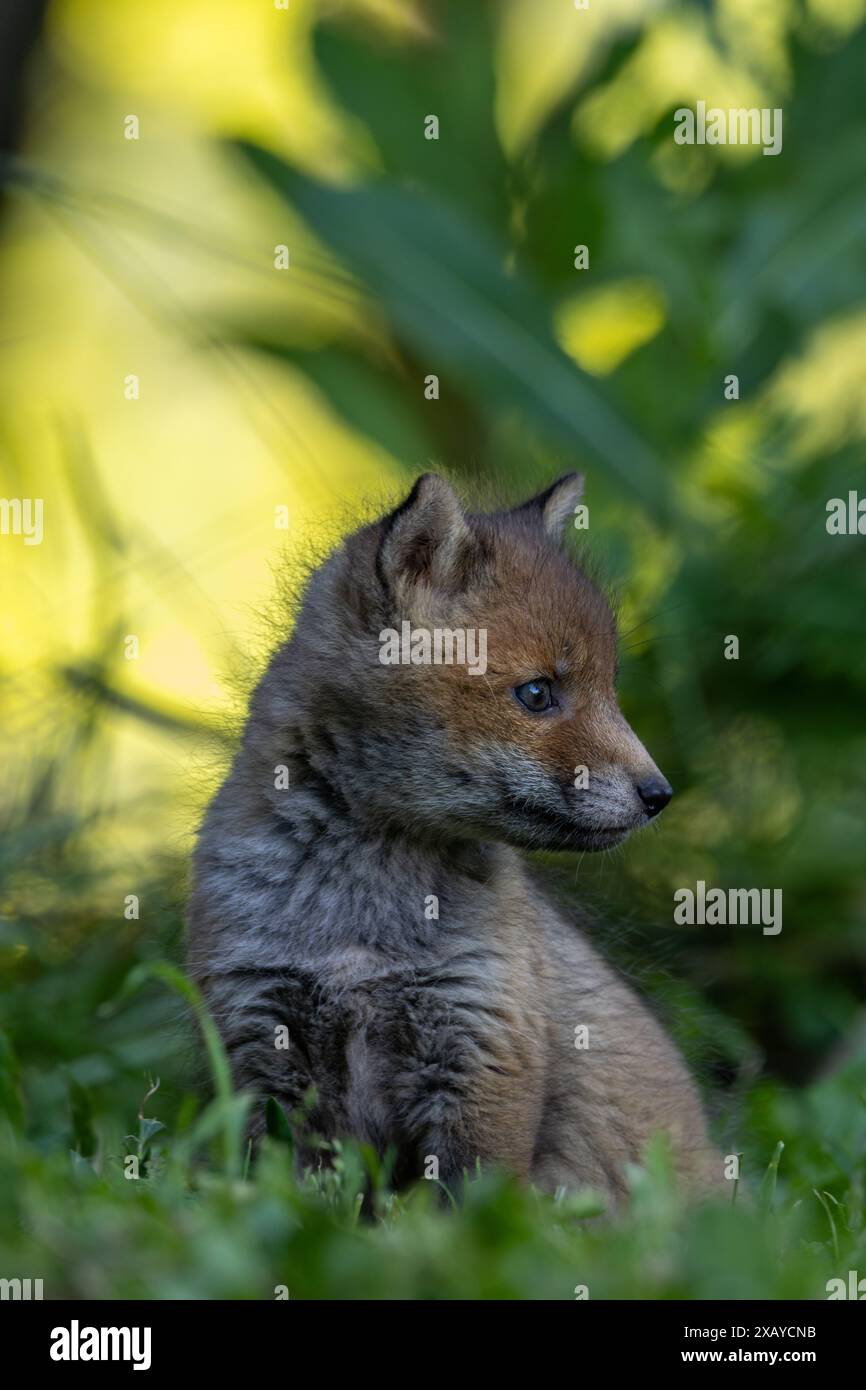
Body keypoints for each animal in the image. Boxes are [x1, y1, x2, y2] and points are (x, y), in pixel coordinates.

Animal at [187, 473, 719, 1203]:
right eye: (537, 694)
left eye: (610, 691)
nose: (659, 795)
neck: (362, 919)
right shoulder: (255, 1040)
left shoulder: (480, 1044)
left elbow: (467, 1213)